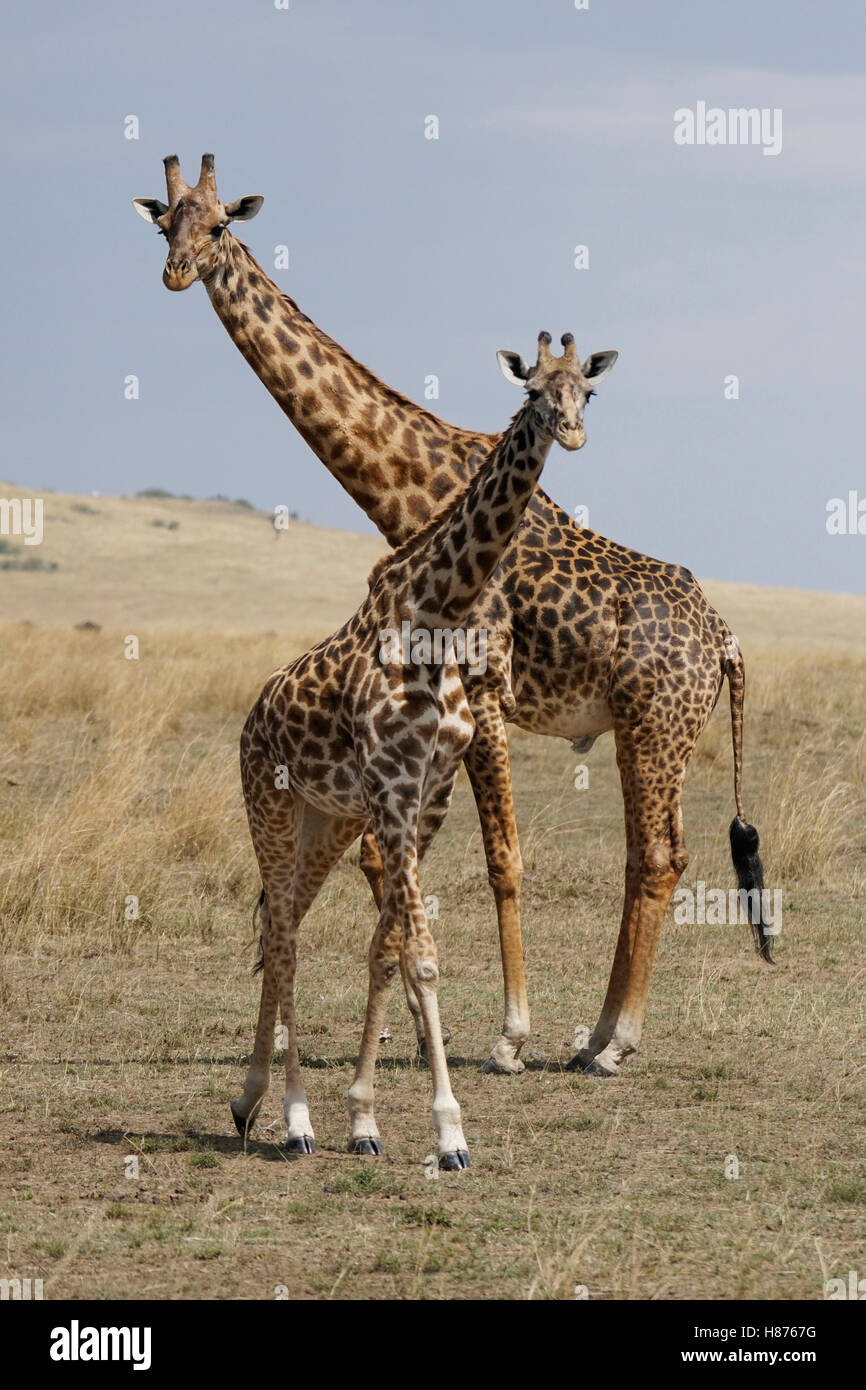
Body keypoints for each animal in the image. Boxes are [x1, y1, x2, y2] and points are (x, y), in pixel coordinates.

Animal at [134, 154, 773, 1080]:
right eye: (164, 224)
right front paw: (411, 1016)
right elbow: (393, 856)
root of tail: (724, 639)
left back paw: (614, 1042)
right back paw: (598, 1034)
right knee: (654, 855)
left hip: (658, 725)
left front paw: (508, 1036)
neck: (408, 488)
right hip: (653, 730)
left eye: (219, 225)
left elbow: (501, 860)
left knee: (654, 858)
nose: (178, 271)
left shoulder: (484, 690)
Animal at [231, 331, 592, 1163]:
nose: (571, 433)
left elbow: (389, 944)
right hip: (270, 808)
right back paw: (291, 1117)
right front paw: (449, 1131)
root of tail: (252, 717)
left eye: (586, 391)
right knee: (284, 937)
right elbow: (420, 956)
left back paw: (252, 1103)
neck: (439, 610)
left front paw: (365, 1119)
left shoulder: (427, 790)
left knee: (282, 925)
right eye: (533, 392)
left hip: (324, 821)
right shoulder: (394, 791)